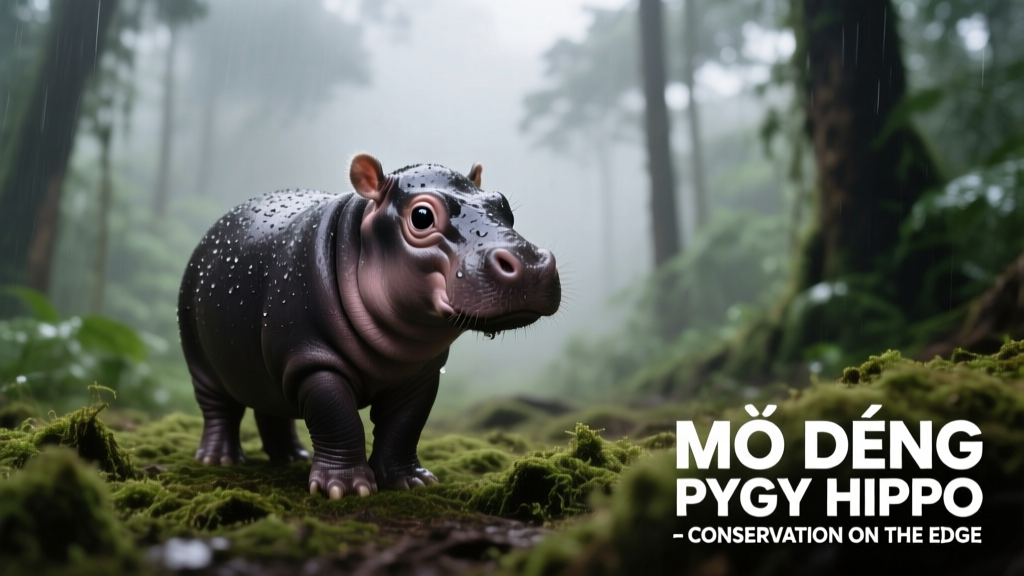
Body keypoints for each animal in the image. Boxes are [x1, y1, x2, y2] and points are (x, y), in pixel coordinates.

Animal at [177, 154, 560, 499]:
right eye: (422, 216)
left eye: (504, 206)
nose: (530, 262)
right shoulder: (313, 362)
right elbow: (337, 418)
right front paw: (344, 489)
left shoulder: (421, 373)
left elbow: (405, 425)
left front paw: (411, 481)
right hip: (201, 360)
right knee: (218, 409)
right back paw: (219, 460)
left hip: (266, 369)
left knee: (272, 408)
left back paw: (290, 457)